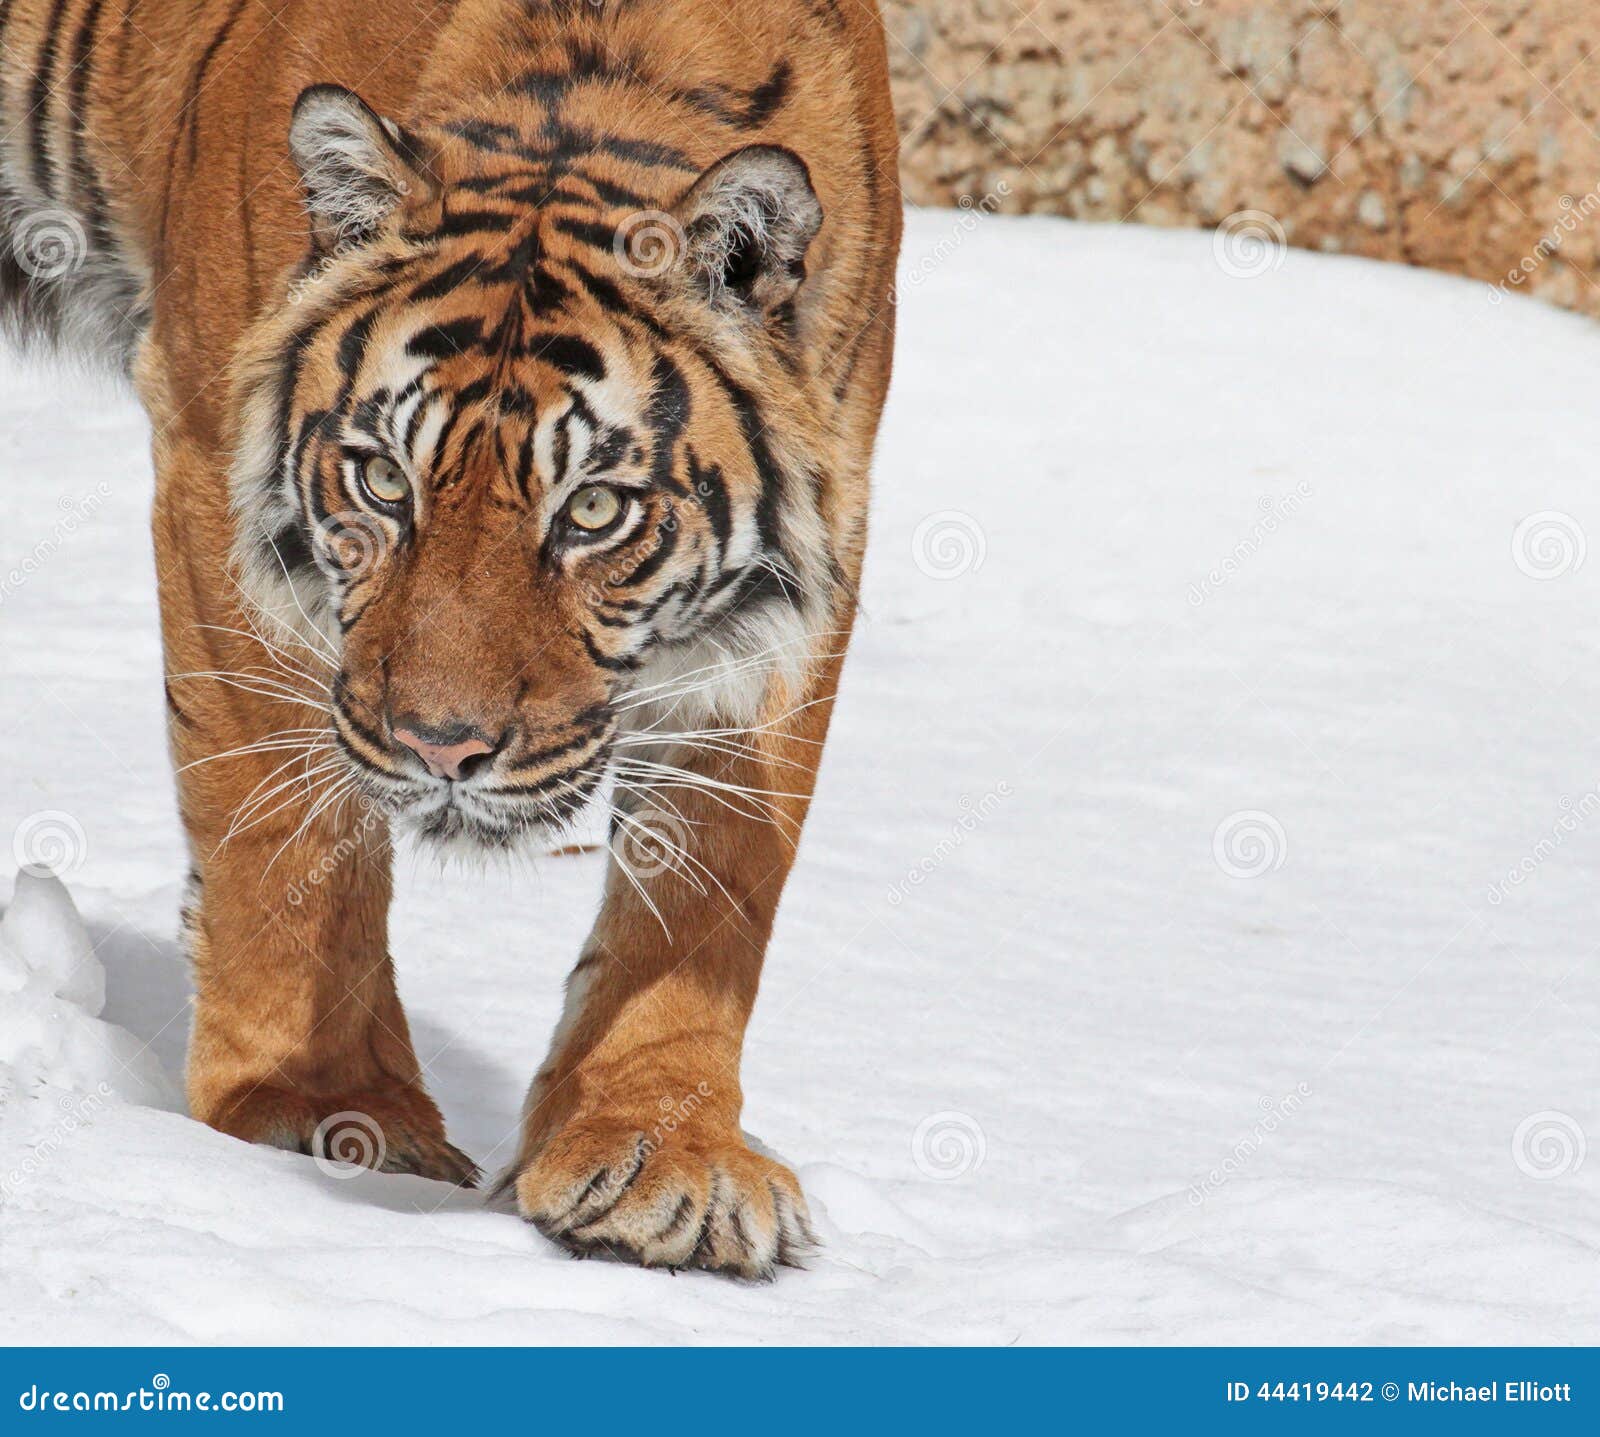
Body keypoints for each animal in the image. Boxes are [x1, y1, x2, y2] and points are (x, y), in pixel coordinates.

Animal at [0, 0, 900, 1277]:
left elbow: (712, 880)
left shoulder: (810, 551)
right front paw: (317, 1113)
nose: (443, 751)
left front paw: (660, 1152)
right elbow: (285, 836)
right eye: (383, 480)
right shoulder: (212, 462)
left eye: (593, 510)